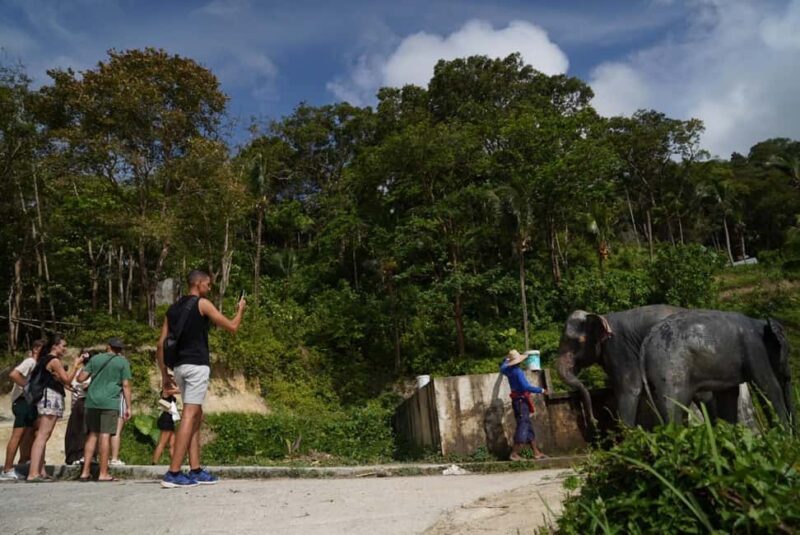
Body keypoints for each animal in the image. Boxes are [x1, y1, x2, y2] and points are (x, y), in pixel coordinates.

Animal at [556, 304, 684, 428]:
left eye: (576, 341)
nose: (594, 421)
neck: (602, 317)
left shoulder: (619, 348)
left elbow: (629, 389)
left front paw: (628, 432)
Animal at [639, 309, 796, 428]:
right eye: (788, 352)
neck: (760, 322)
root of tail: (646, 342)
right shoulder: (754, 348)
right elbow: (769, 386)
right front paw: (785, 439)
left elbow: (729, 395)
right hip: (670, 369)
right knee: (674, 408)